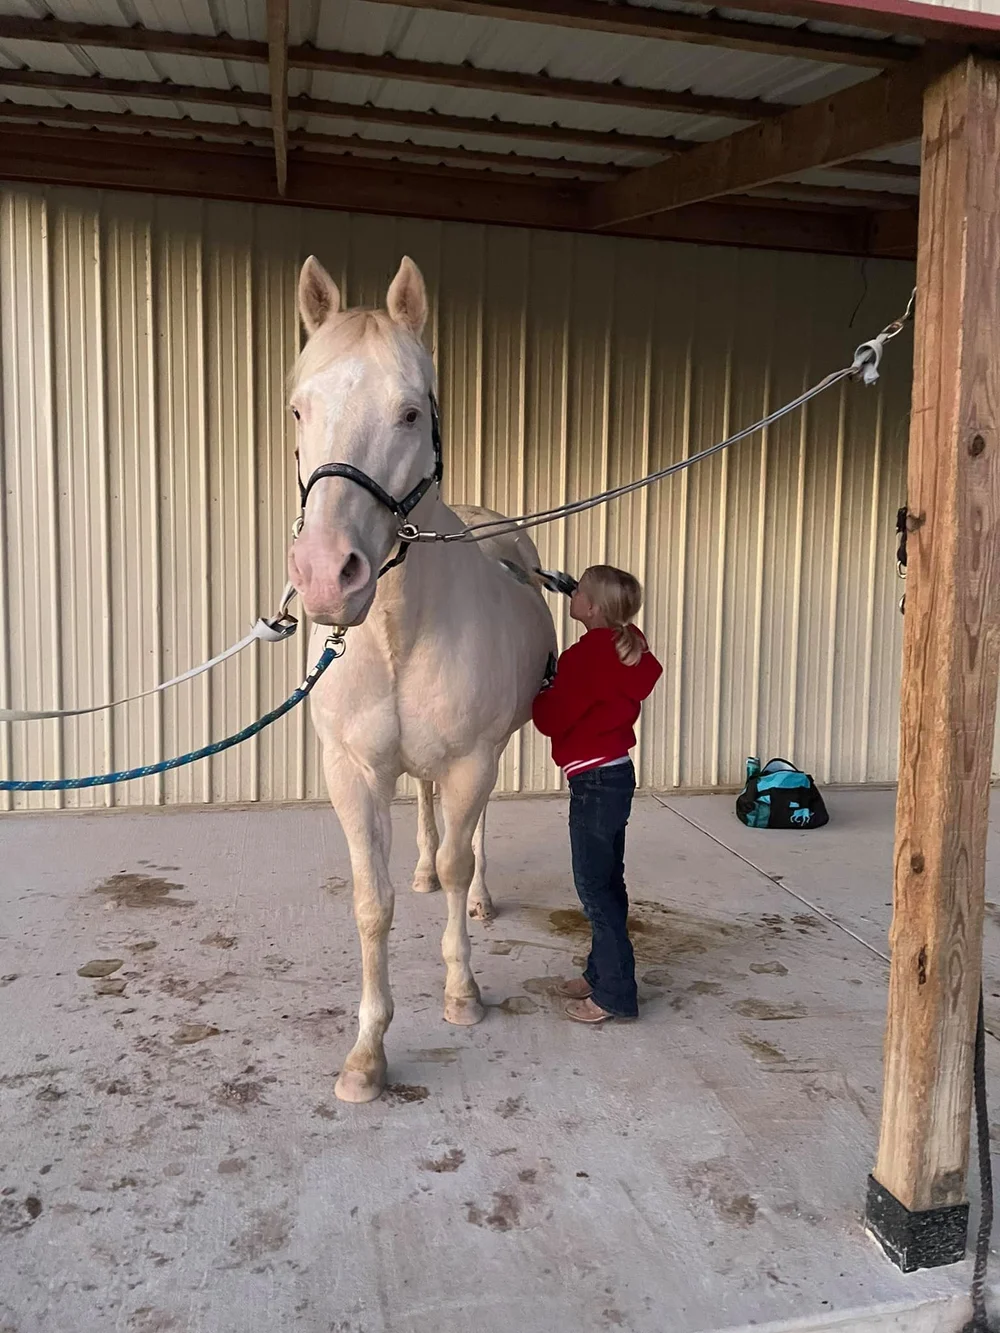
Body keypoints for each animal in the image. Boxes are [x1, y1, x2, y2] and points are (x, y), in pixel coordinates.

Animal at [287, 254, 557, 1103]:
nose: (325, 576)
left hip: (491, 754)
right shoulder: (352, 770)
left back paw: (477, 898)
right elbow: (372, 904)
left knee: (471, 838)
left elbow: (461, 858)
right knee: (429, 817)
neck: (397, 634)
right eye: (299, 410)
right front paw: (366, 1055)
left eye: (410, 413)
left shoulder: (474, 759)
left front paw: (462, 992)